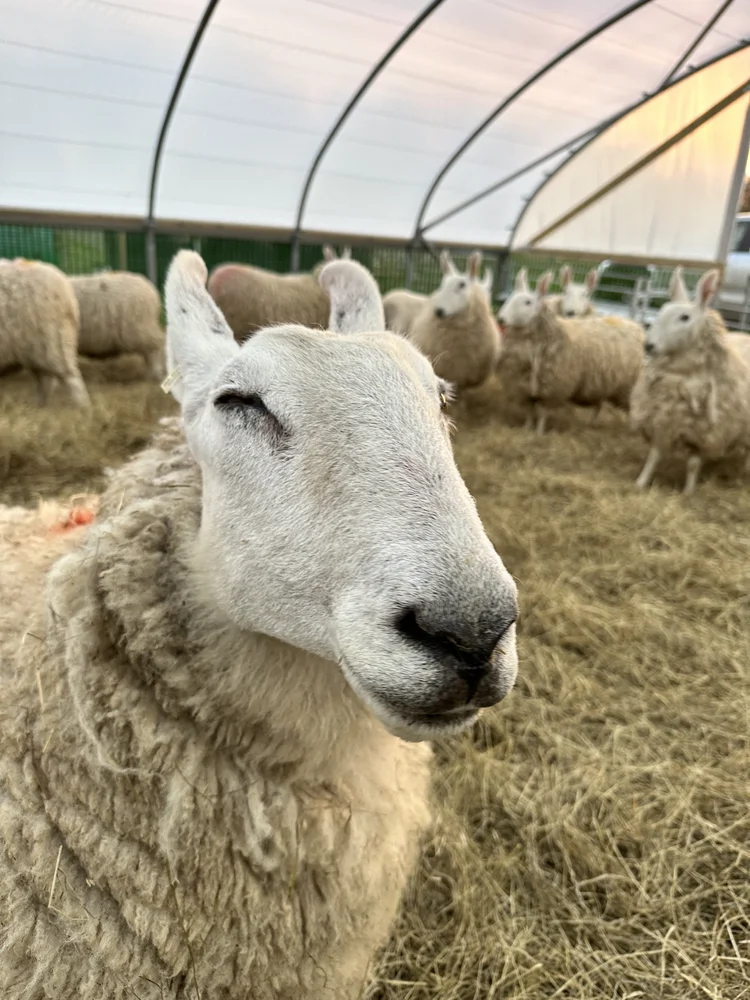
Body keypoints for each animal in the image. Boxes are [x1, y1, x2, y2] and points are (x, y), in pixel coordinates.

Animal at [0, 258, 90, 407]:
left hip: (53, 342)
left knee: (71, 379)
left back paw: (84, 409)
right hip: (36, 349)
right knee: (46, 381)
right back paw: (40, 406)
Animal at [497, 268, 644, 434]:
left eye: (527, 302)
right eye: (510, 297)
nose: (500, 319)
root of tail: (633, 324)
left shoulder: (553, 388)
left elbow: (542, 413)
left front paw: (539, 432)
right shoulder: (523, 387)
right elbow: (529, 411)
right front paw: (527, 428)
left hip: (628, 387)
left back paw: (631, 431)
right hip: (604, 382)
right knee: (598, 405)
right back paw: (592, 423)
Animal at [630, 267, 750, 494]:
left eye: (685, 317)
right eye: (661, 311)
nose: (648, 345)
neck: (682, 377)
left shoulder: (704, 432)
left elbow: (693, 464)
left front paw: (688, 492)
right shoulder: (663, 419)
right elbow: (654, 455)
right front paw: (641, 481)